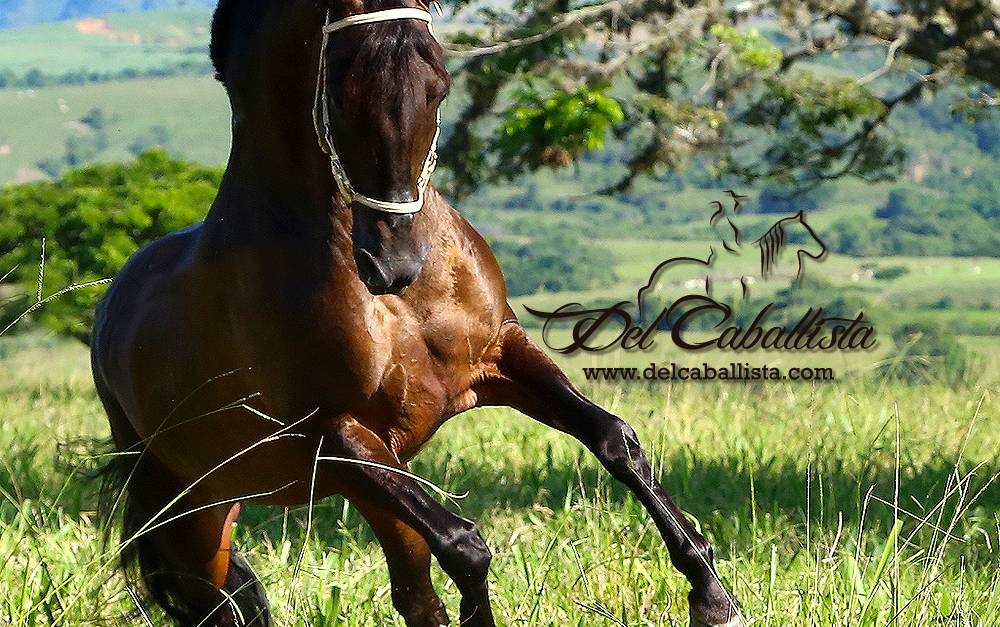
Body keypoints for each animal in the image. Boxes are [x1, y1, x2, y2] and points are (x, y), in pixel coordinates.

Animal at [90, 2, 743, 626]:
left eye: (440, 85)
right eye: (338, 86)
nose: (393, 262)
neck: (398, 306)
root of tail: (109, 313)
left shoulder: (499, 358)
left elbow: (614, 440)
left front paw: (713, 597)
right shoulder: (332, 433)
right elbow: (465, 544)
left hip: (350, 493)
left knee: (408, 598)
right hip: (197, 518)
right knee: (221, 608)